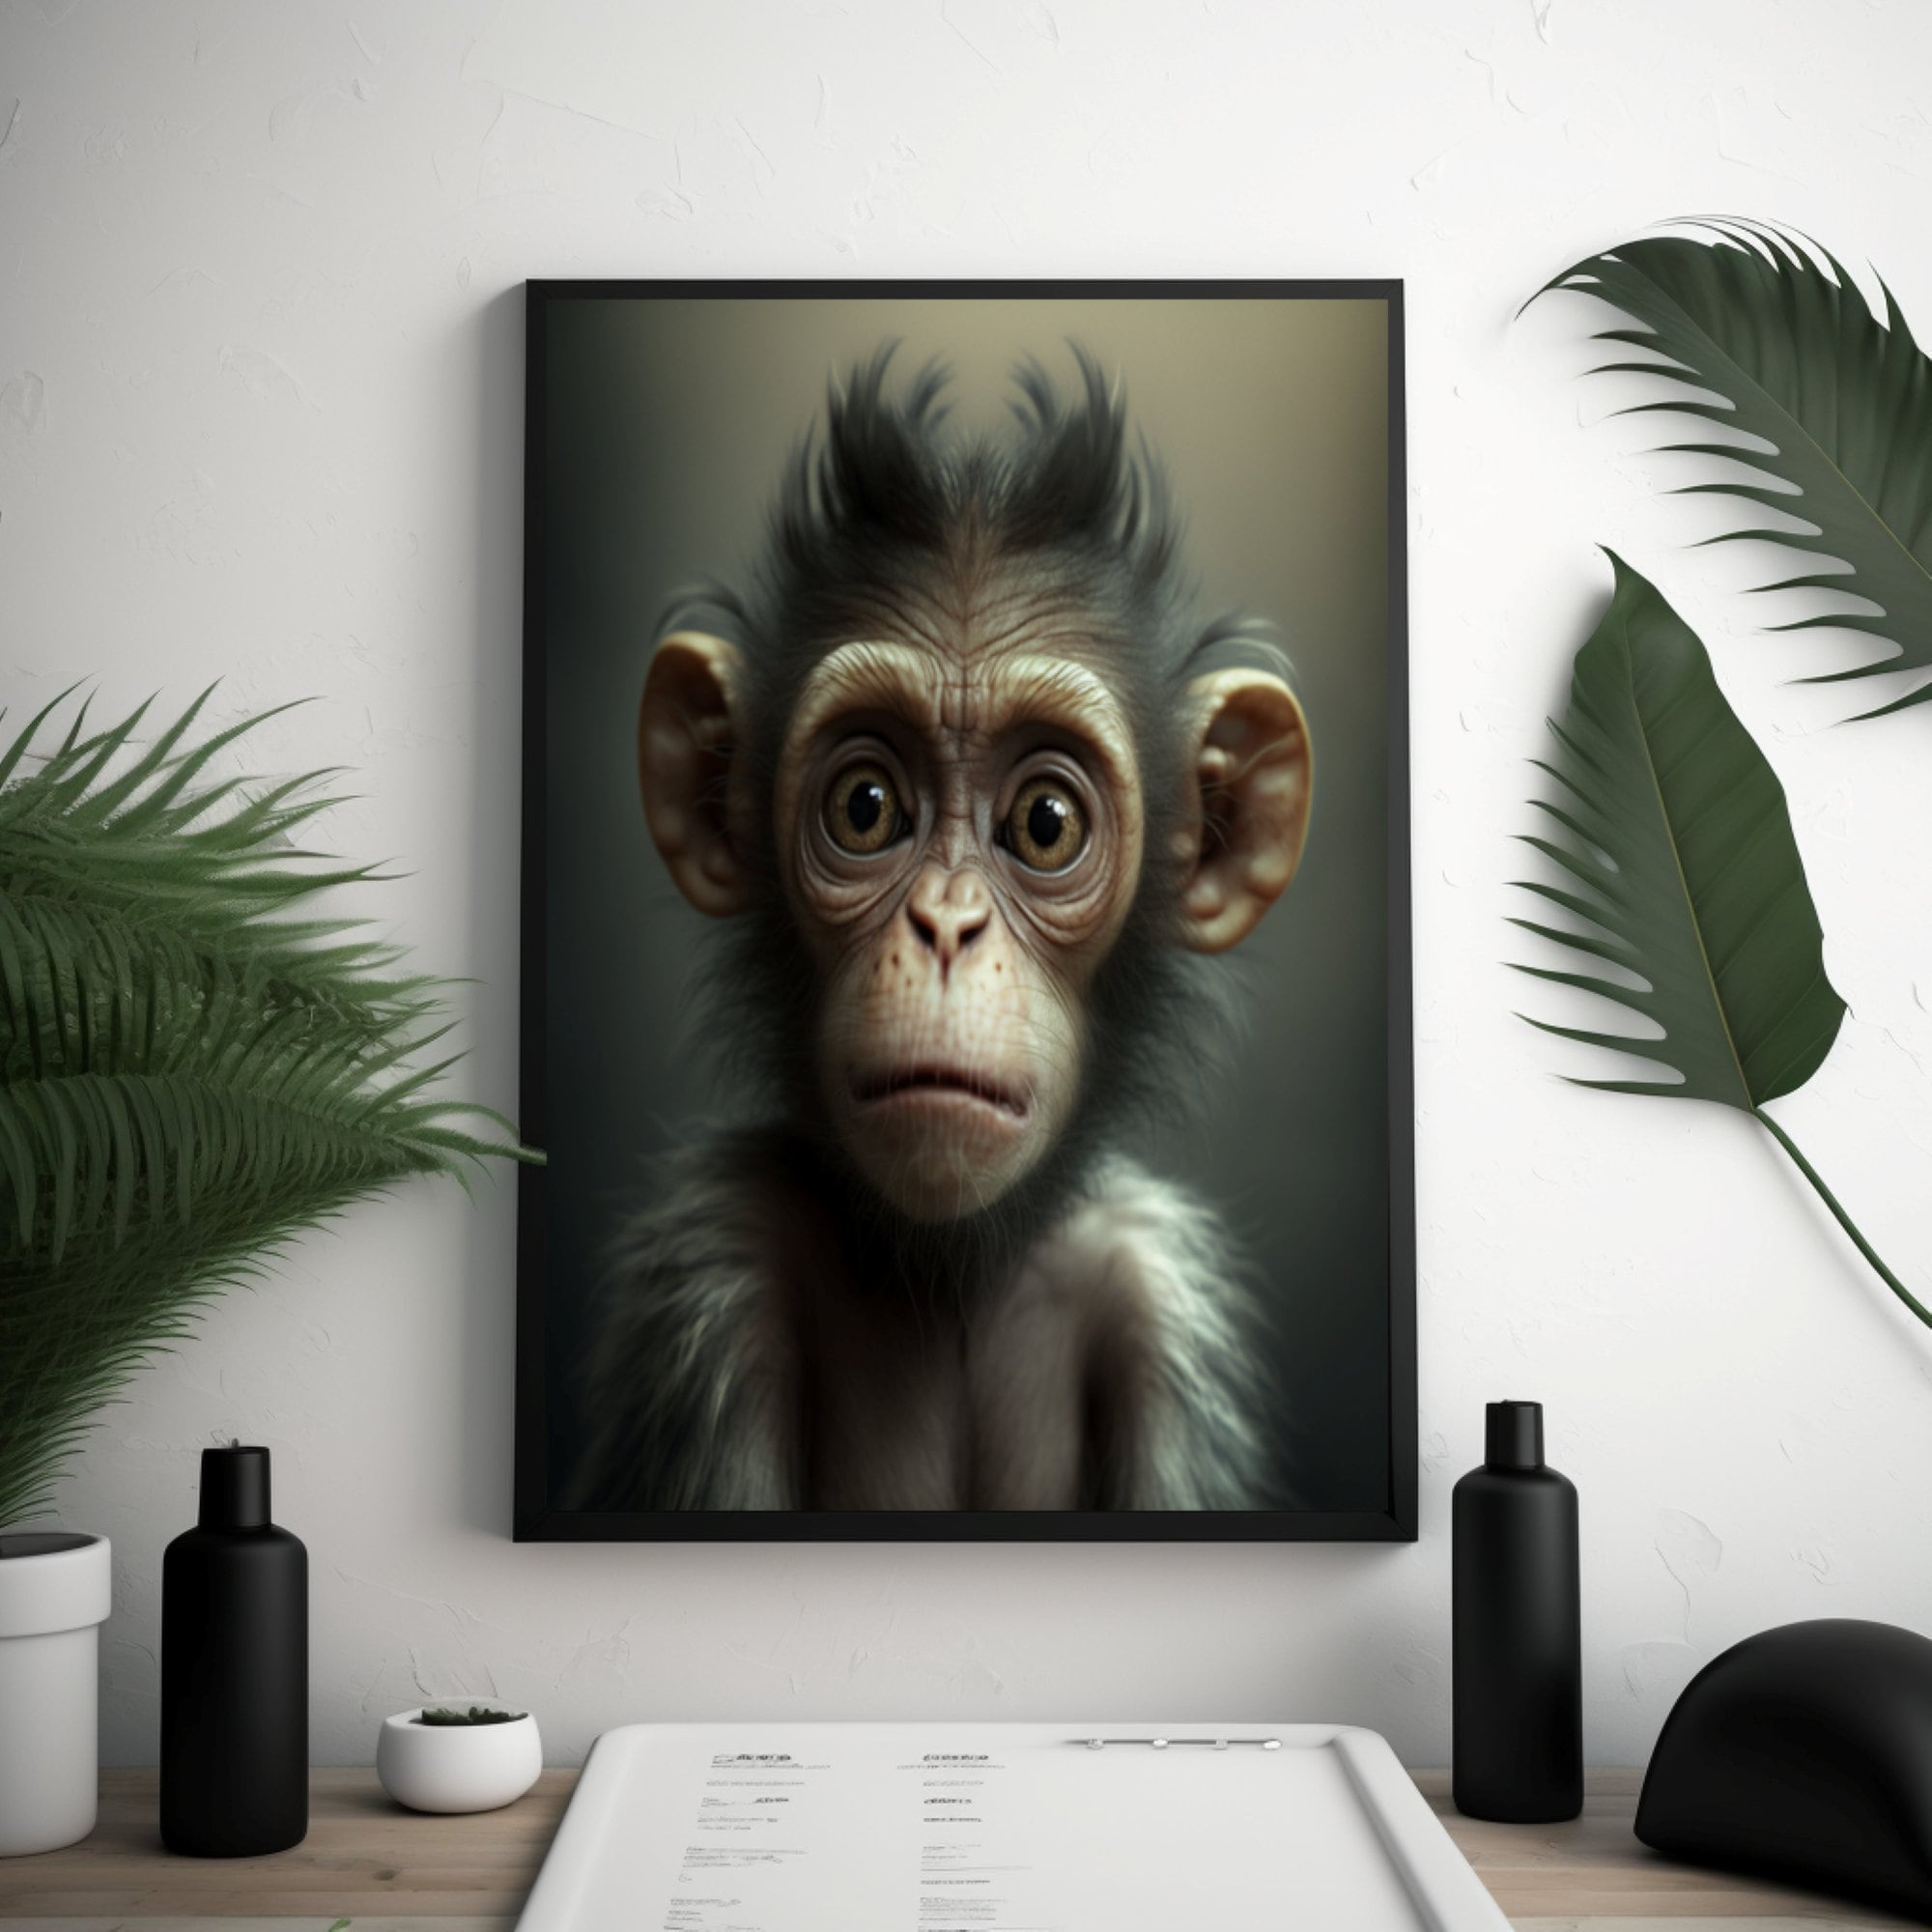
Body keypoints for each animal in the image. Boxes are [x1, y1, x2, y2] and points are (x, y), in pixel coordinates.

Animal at [565, 345, 1314, 1513]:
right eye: (865, 806)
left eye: (1044, 823)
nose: (945, 927)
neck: (946, 1276)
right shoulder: (708, 1280)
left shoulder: (1162, 1300)